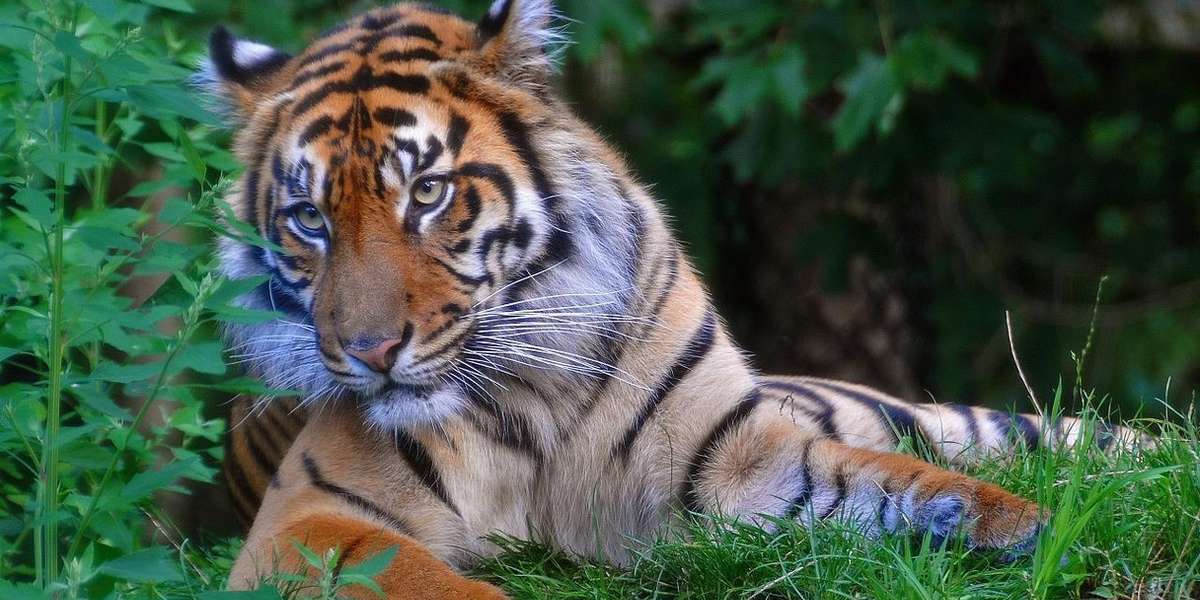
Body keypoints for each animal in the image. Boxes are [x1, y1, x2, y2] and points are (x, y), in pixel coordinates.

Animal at [198, 1, 1147, 597]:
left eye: (427, 194)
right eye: (310, 220)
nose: (370, 353)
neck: (532, 389)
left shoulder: (730, 459)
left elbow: (881, 479)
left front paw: (1015, 523)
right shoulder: (310, 517)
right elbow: (430, 582)